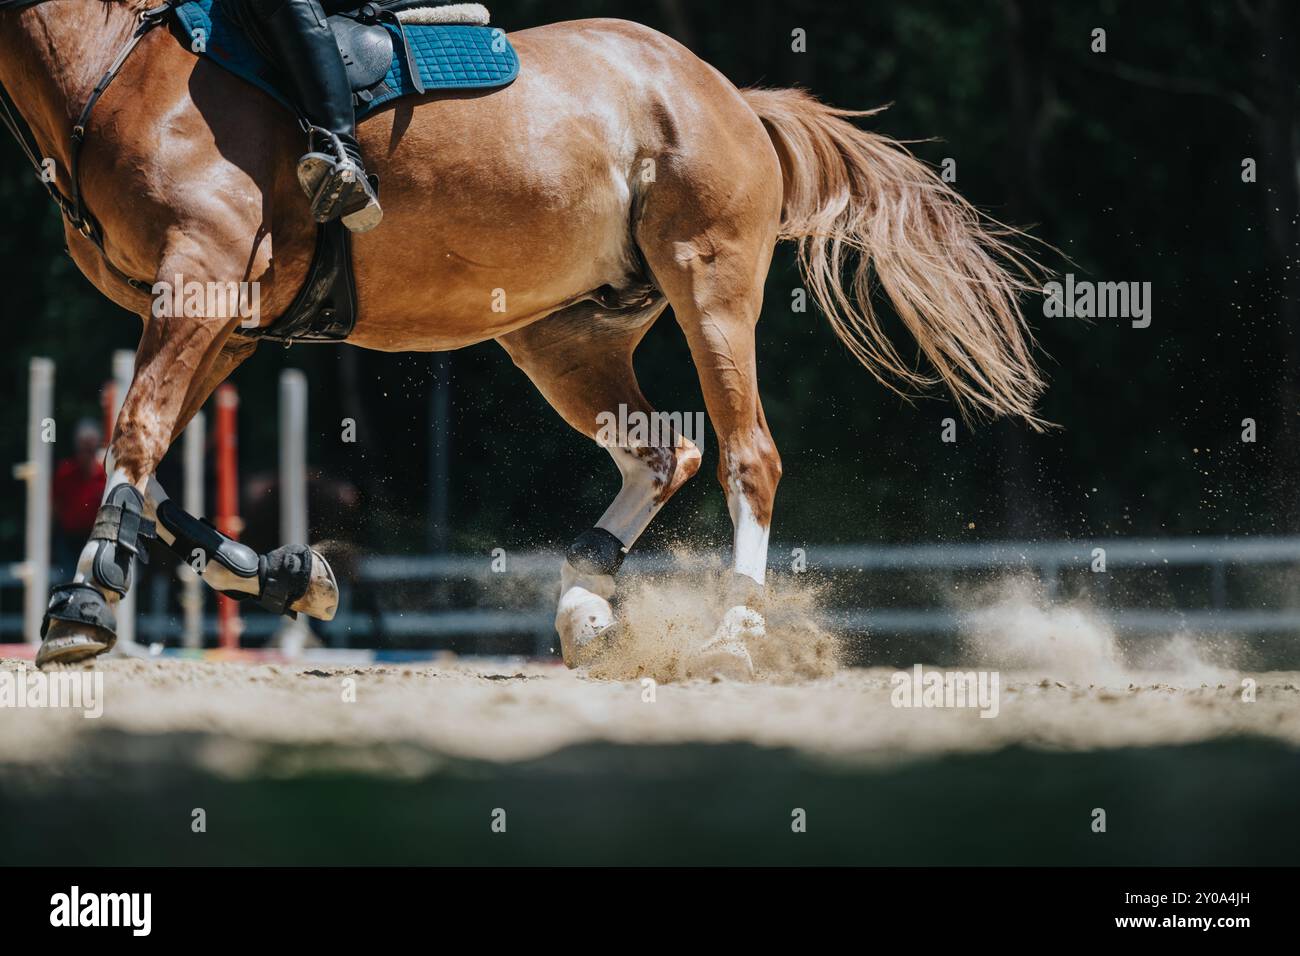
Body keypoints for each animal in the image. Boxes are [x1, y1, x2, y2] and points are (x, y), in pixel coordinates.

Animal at [0, 0, 1046, 675]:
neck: (107, 63)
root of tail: (731, 94)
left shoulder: (201, 277)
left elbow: (134, 433)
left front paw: (83, 604)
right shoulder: (219, 320)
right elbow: (150, 461)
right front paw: (288, 573)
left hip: (709, 281)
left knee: (747, 454)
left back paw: (733, 635)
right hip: (561, 336)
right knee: (662, 452)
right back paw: (586, 607)